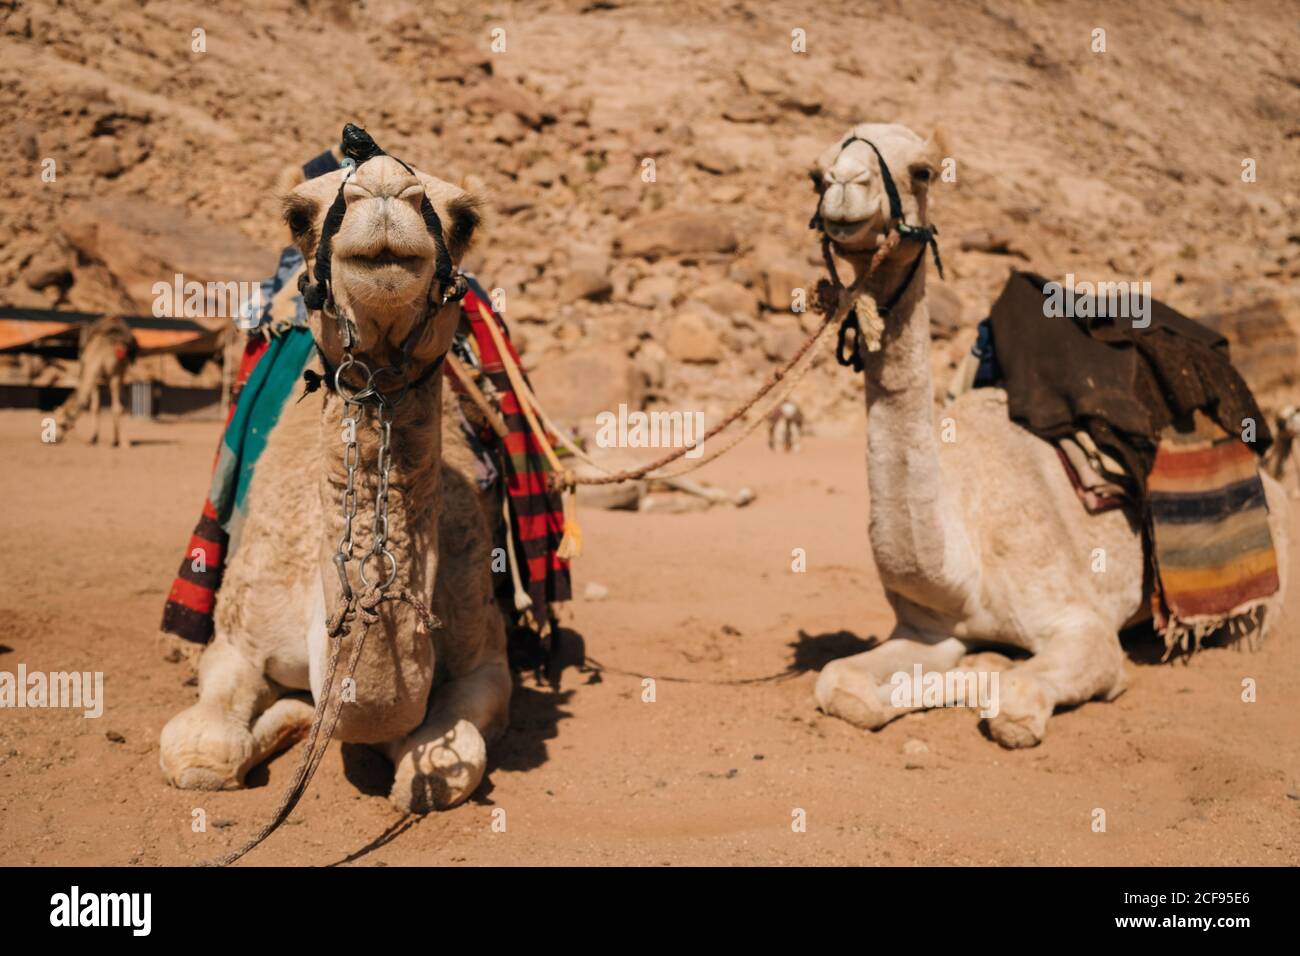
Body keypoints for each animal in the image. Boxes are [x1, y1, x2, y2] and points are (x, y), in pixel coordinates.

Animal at [55, 314, 137, 446]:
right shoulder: (95, 378)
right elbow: (95, 408)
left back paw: (122, 441)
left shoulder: (110, 375)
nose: (56, 438)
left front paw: (122, 443)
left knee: (120, 403)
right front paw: (93, 439)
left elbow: (113, 407)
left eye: (62, 424)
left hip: (120, 373)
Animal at [159, 133, 511, 812]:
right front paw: (285, 722)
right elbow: (202, 753)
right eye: (298, 215)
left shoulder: (486, 653)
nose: (383, 188)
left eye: (464, 219)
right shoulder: (239, 641)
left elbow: (439, 768)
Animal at [808, 123, 1290, 747]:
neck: (967, 553)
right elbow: (841, 685)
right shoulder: (925, 629)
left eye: (922, 171)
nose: (845, 186)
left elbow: (1015, 700)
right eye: (815, 174)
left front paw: (997, 668)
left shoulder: (1080, 624)